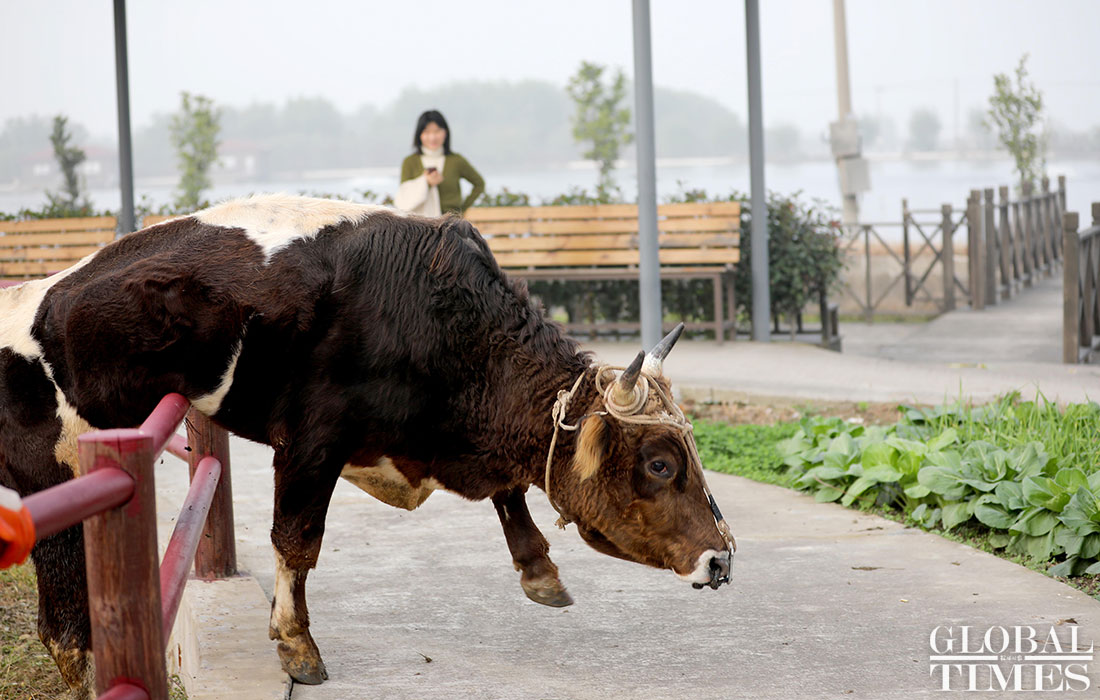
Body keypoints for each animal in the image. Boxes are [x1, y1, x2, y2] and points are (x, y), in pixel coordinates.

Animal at [0, 194, 734, 696]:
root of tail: (34, 295)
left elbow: (508, 490)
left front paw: (539, 570)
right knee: (64, 630)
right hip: (56, 484)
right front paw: (297, 645)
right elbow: (297, 541)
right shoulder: (310, 442)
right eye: (660, 463)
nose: (722, 561)